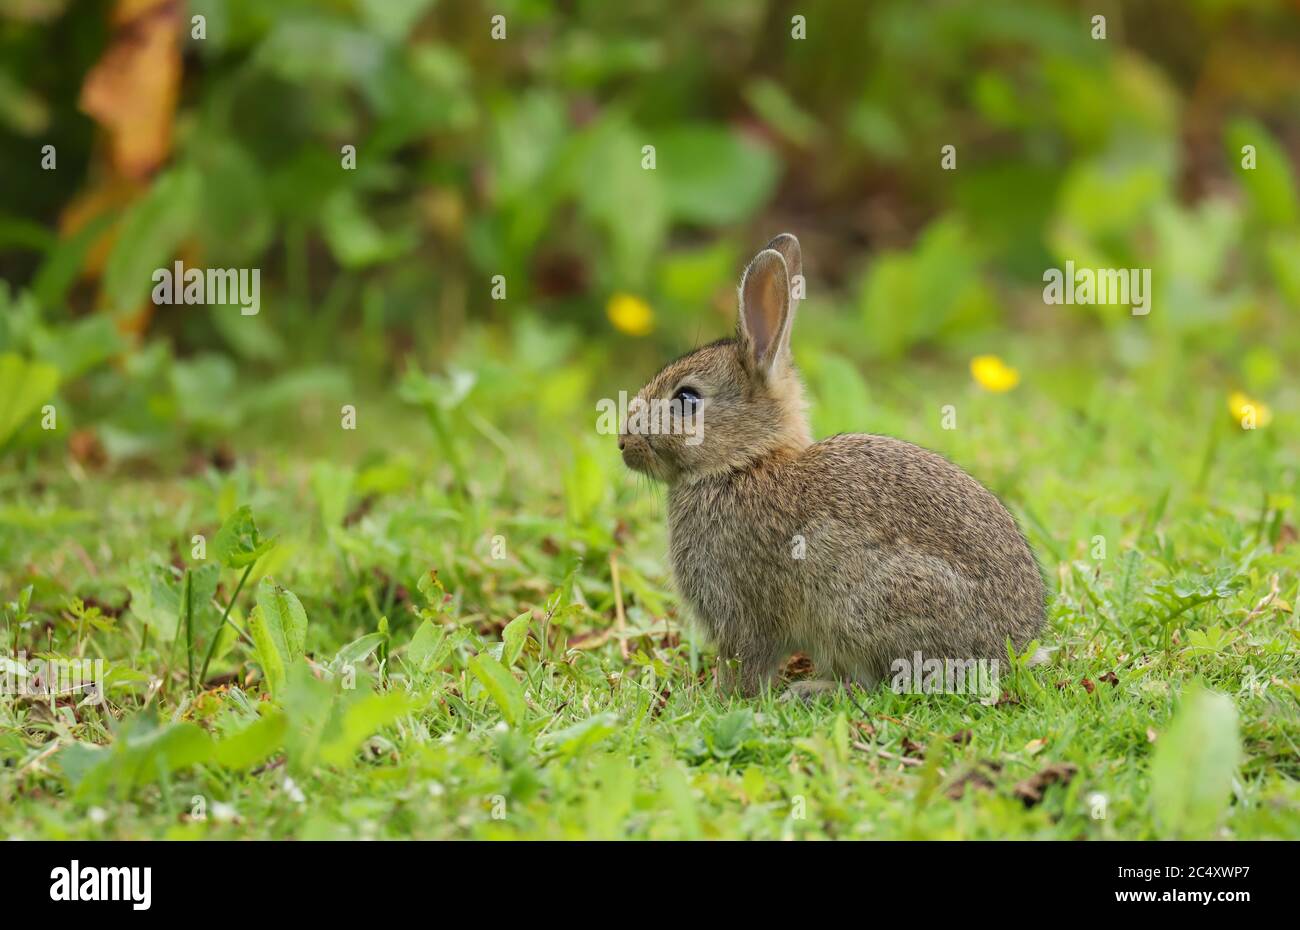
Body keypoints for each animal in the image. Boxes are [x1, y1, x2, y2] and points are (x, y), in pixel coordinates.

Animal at [618, 233, 1046, 698]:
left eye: (686, 399)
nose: (623, 442)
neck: (743, 464)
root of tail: (1012, 650)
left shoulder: (742, 609)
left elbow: (747, 660)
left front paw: (724, 698)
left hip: (867, 605)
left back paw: (810, 690)